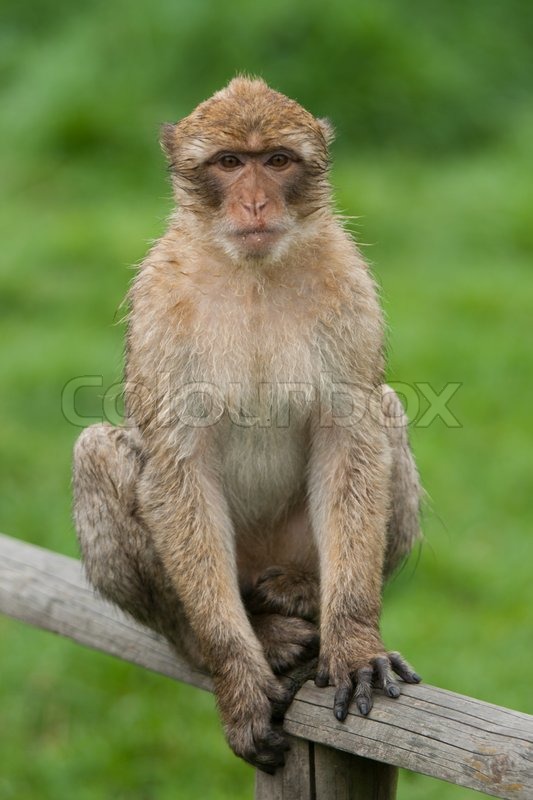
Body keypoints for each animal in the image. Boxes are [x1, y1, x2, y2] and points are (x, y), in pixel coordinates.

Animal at [73, 77, 422, 774]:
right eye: (231, 162)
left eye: (278, 161)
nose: (256, 201)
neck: (252, 274)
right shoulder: (159, 305)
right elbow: (176, 469)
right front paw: (238, 680)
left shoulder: (351, 290)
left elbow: (352, 437)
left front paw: (353, 642)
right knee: (95, 450)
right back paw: (242, 634)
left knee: (387, 412)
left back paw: (303, 593)